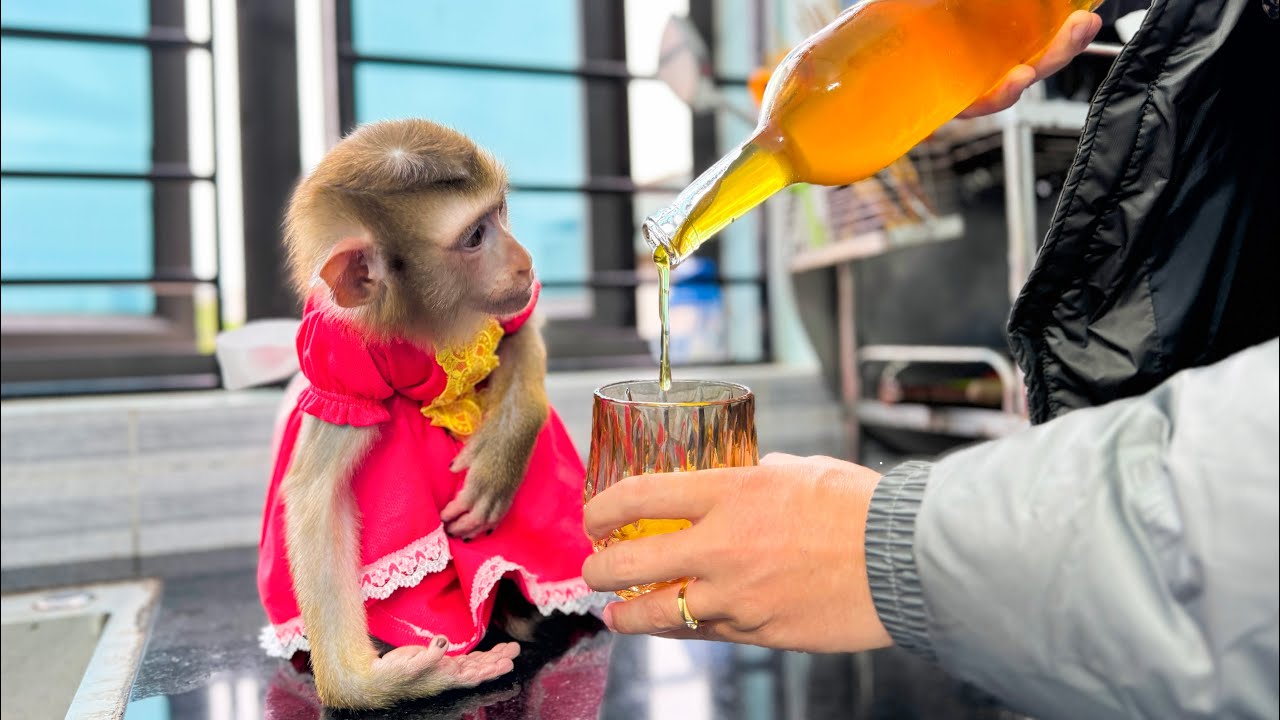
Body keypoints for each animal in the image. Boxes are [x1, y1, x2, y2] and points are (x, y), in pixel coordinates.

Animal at [255, 119, 600, 710]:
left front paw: (500, 460)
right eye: (474, 237)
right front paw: (377, 683)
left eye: (499, 213)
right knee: (393, 426)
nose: (524, 261)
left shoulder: (511, 306)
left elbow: (521, 328)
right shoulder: (337, 361)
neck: (427, 324)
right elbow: (317, 495)